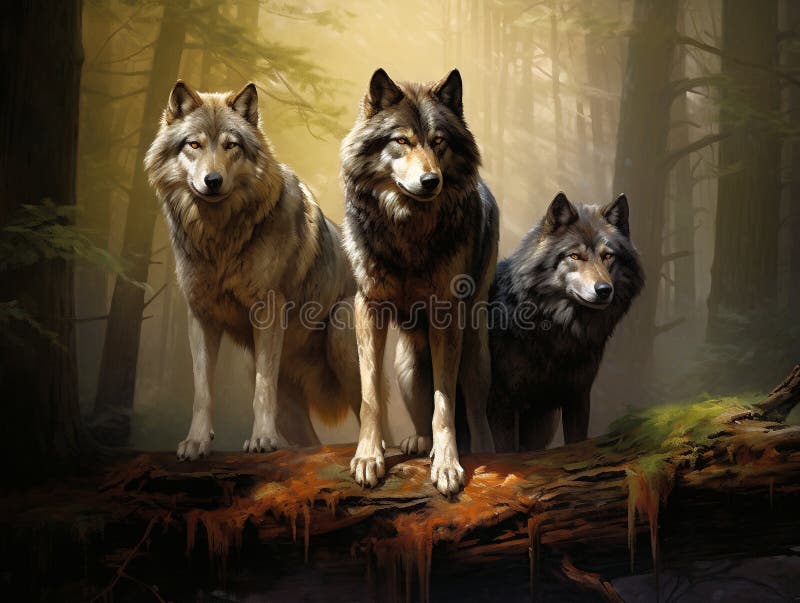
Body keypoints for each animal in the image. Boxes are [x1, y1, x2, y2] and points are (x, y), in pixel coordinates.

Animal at [145, 80, 360, 460]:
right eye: (194, 144)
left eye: (231, 145)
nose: (212, 180)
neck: (220, 239)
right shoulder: (200, 316)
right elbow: (202, 392)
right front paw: (196, 442)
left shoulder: (268, 312)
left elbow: (263, 390)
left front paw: (261, 440)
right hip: (282, 400)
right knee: (312, 442)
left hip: (342, 334)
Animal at [341, 68, 499, 496]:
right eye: (402, 141)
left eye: (439, 142)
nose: (431, 180)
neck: (408, 230)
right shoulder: (368, 306)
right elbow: (370, 394)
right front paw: (369, 456)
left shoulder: (445, 314)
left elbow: (445, 403)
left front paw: (447, 465)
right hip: (407, 366)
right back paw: (417, 441)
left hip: (474, 353)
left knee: (474, 410)